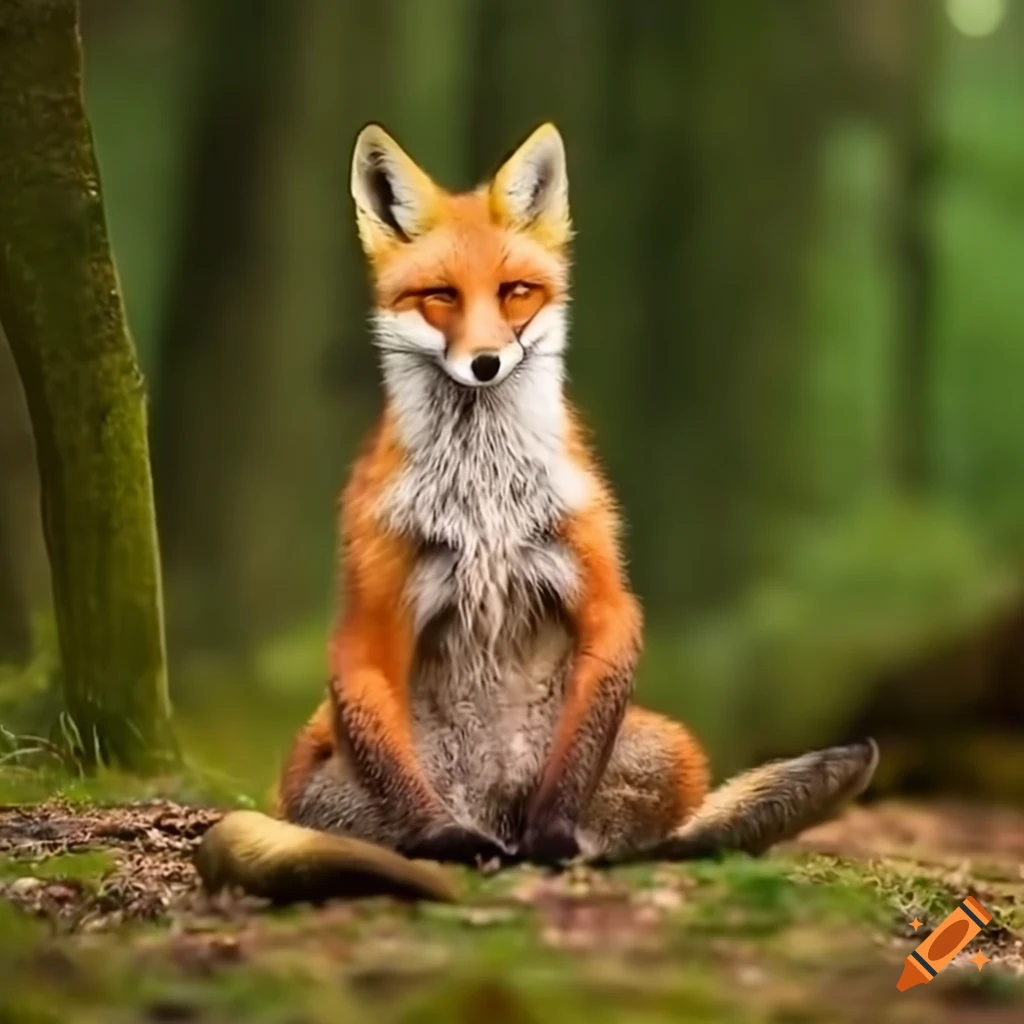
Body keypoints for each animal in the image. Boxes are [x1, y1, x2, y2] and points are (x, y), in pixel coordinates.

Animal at [195, 122, 879, 904]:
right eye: (440, 297)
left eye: (515, 292)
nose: (486, 362)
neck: (483, 487)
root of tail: (494, 807)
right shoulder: (366, 616)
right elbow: (405, 770)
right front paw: (445, 843)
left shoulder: (603, 590)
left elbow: (574, 775)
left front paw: (554, 838)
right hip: (314, 779)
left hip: (668, 743)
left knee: (655, 836)